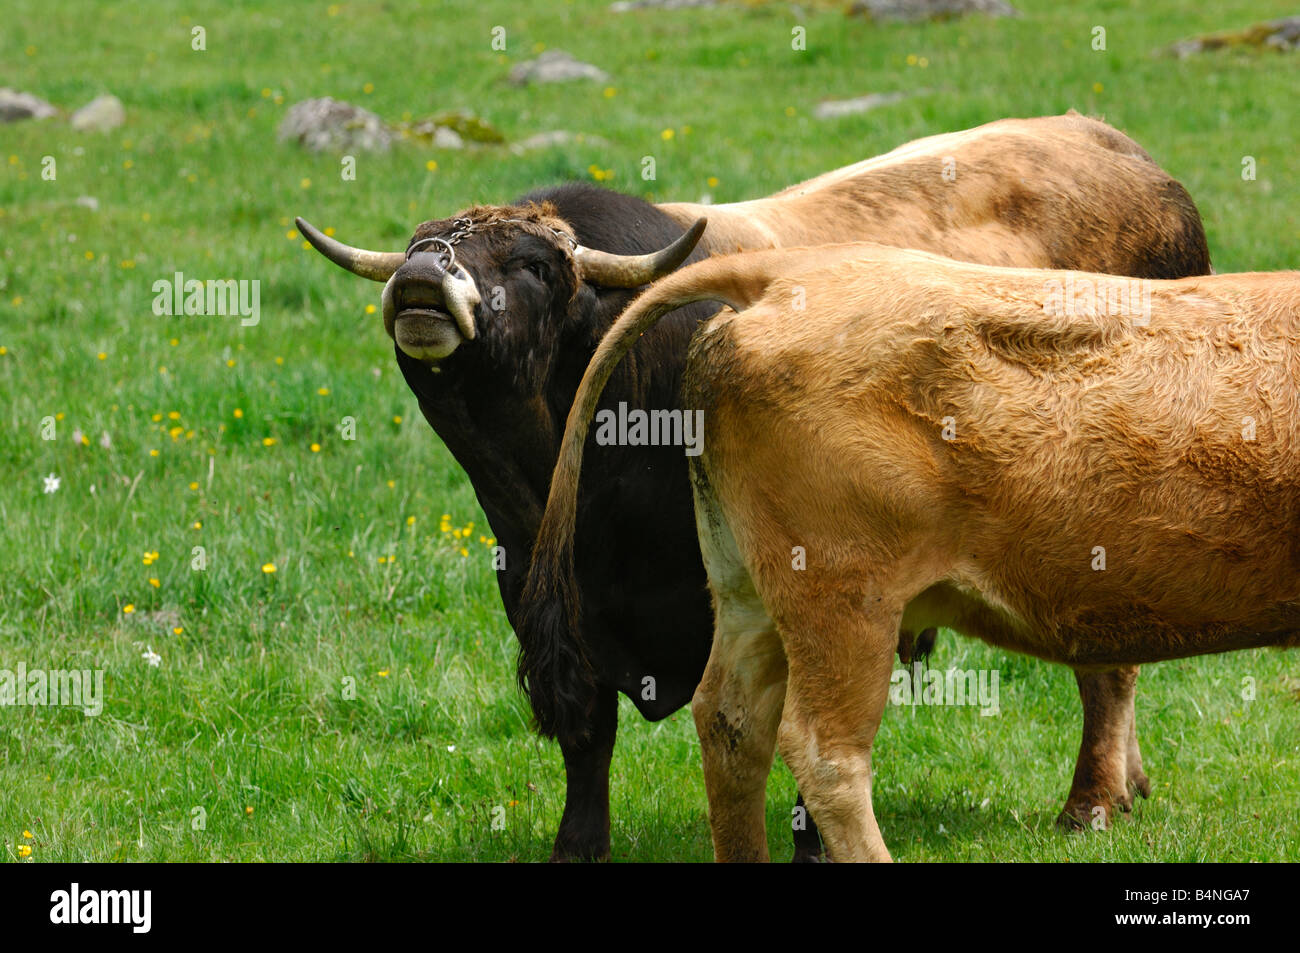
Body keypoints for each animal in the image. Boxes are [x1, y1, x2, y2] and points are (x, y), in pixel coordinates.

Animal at [299, 112, 1210, 861]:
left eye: (525, 262)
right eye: (421, 241)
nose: (421, 274)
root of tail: (1137, 163)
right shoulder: (539, 594)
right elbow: (590, 733)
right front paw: (577, 846)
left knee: (1108, 671)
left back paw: (1091, 802)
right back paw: (1130, 784)